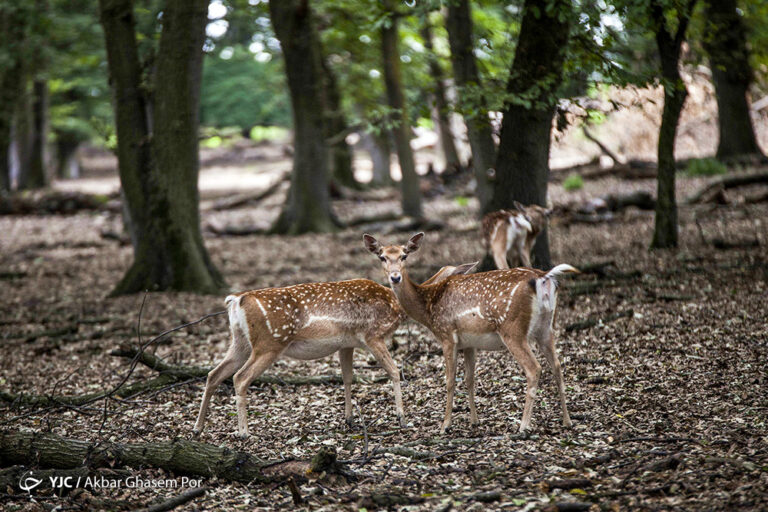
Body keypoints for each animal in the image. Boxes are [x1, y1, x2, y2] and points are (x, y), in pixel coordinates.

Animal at [193, 265, 478, 439]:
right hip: (269, 343)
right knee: (239, 378)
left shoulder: (346, 343)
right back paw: (243, 431)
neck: (395, 306)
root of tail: (235, 301)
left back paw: (197, 428)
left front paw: (350, 419)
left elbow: (347, 377)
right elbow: (395, 371)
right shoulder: (371, 335)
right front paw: (402, 418)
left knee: (213, 374)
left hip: (240, 342)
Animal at [364, 232, 578, 434]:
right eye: (382, 257)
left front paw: (445, 425)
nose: (395, 277)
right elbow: (469, 379)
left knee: (534, 368)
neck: (428, 308)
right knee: (557, 366)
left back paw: (524, 426)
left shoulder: (447, 335)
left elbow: (450, 380)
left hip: (513, 328)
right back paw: (567, 421)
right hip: (546, 327)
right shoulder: (469, 343)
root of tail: (544, 279)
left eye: (404, 255)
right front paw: (474, 421)